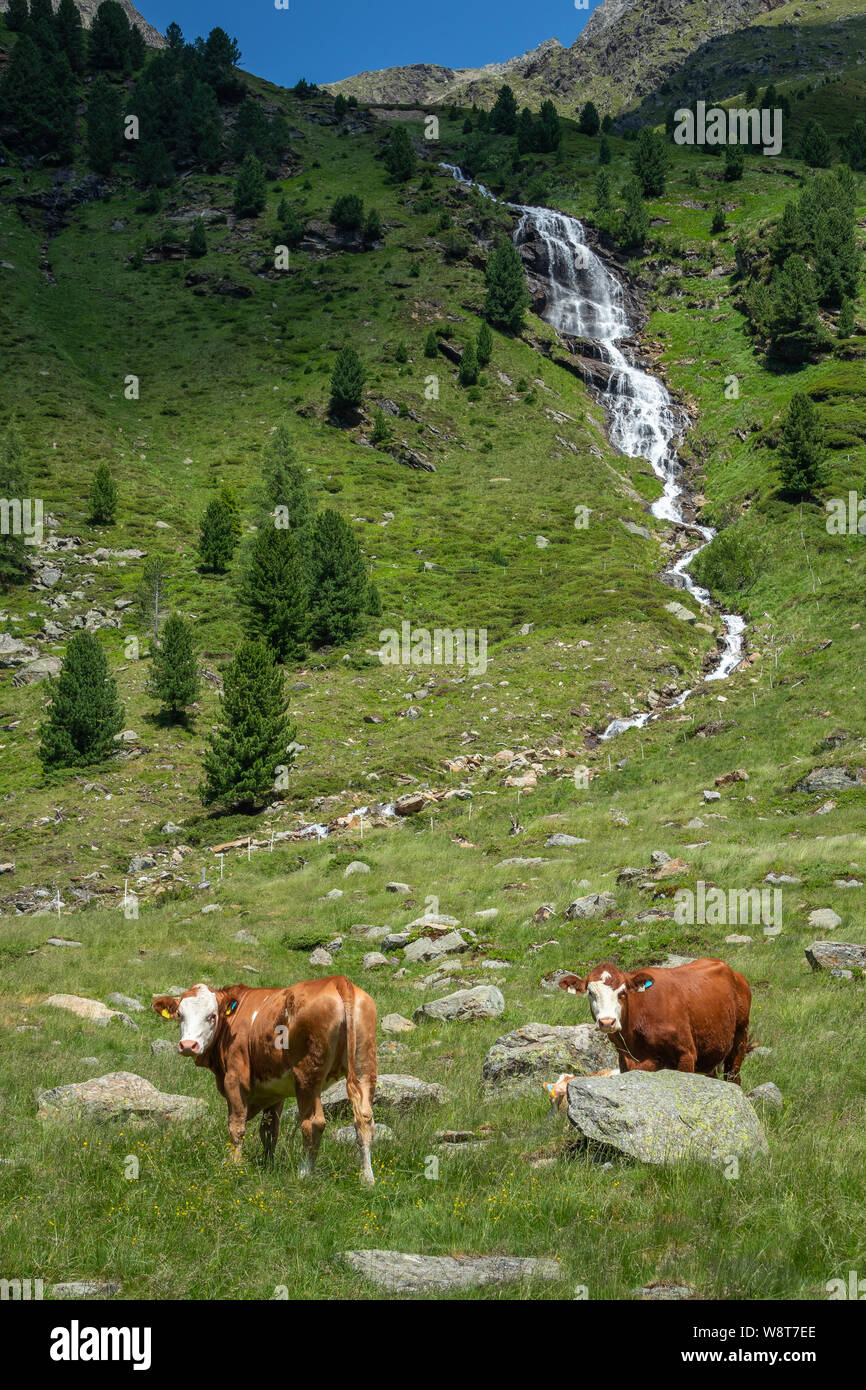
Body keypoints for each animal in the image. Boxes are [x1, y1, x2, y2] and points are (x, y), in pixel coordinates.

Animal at [152, 975, 378, 1183]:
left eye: (212, 1016)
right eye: (180, 1015)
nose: (188, 1045)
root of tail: (338, 980)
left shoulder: (234, 1080)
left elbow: (236, 1126)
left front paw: (233, 1165)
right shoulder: (275, 1091)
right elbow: (269, 1131)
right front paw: (268, 1163)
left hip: (307, 1077)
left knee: (313, 1123)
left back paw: (304, 1174)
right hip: (364, 1066)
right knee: (364, 1119)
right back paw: (367, 1178)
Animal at [558, 957, 753, 1083]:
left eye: (622, 992)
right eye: (591, 993)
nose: (607, 1022)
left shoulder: (686, 1055)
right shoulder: (625, 1061)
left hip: (739, 1039)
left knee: (734, 1077)